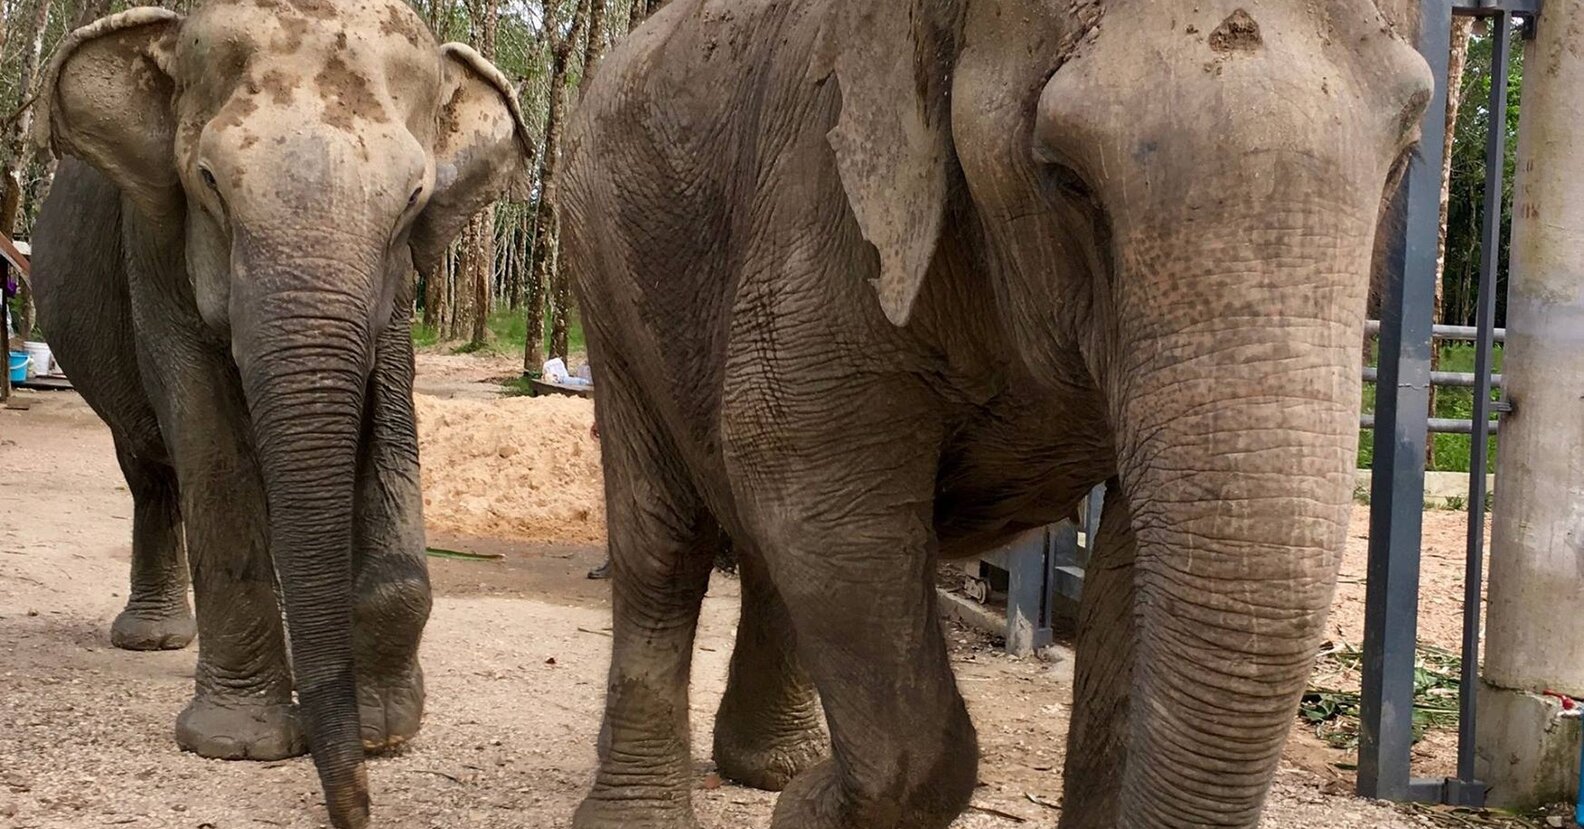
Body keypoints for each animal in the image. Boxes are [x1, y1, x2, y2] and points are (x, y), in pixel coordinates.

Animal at [29, 3, 531, 826]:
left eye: (414, 199)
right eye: (207, 181)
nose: (357, 812)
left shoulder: (398, 285)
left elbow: (391, 413)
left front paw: (383, 728)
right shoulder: (153, 238)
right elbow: (207, 432)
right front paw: (244, 745)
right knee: (150, 467)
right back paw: (155, 639)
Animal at [560, 0, 1431, 827]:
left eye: (1406, 160)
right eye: (1066, 178)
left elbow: (1135, 570)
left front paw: (798, 793)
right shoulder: (820, 196)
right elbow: (802, 473)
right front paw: (805, 806)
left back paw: (770, 766)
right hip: (604, 268)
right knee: (662, 539)